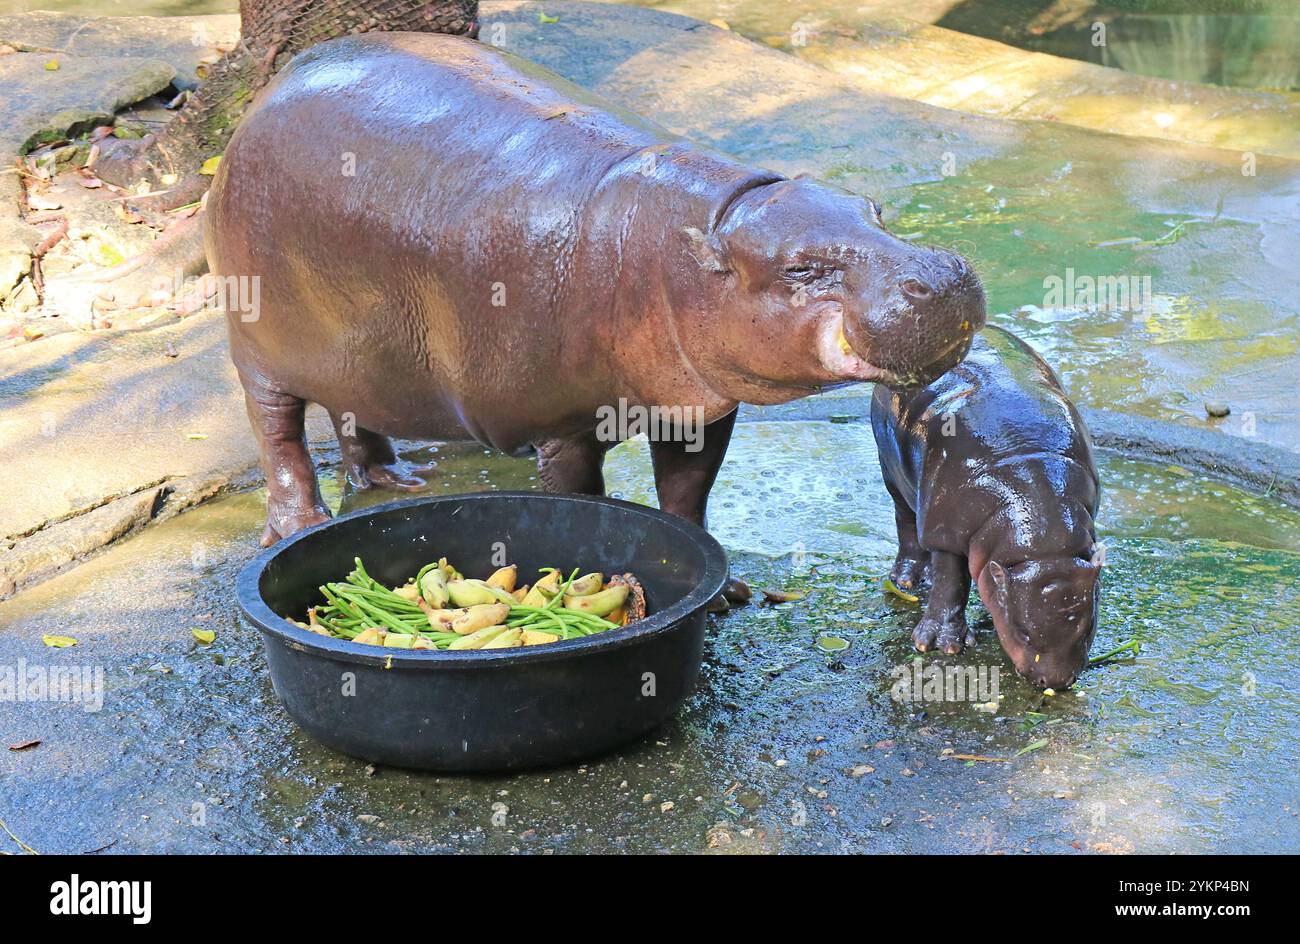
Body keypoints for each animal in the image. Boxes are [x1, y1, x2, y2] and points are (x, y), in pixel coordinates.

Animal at [206, 32, 986, 600]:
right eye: (799, 267)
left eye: (871, 210)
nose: (940, 274)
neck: (694, 243)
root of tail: (263, 98)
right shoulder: (566, 425)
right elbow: (585, 499)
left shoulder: (697, 407)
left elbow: (687, 494)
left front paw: (727, 591)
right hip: (256, 348)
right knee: (278, 436)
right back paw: (298, 523)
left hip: (357, 344)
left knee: (353, 409)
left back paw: (395, 480)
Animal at [870, 325, 1102, 689]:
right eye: (1022, 632)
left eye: (1087, 626)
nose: (1055, 682)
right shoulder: (944, 528)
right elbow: (949, 583)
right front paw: (937, 645)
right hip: (891, 472)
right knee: (906, 525)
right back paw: (908, 581)